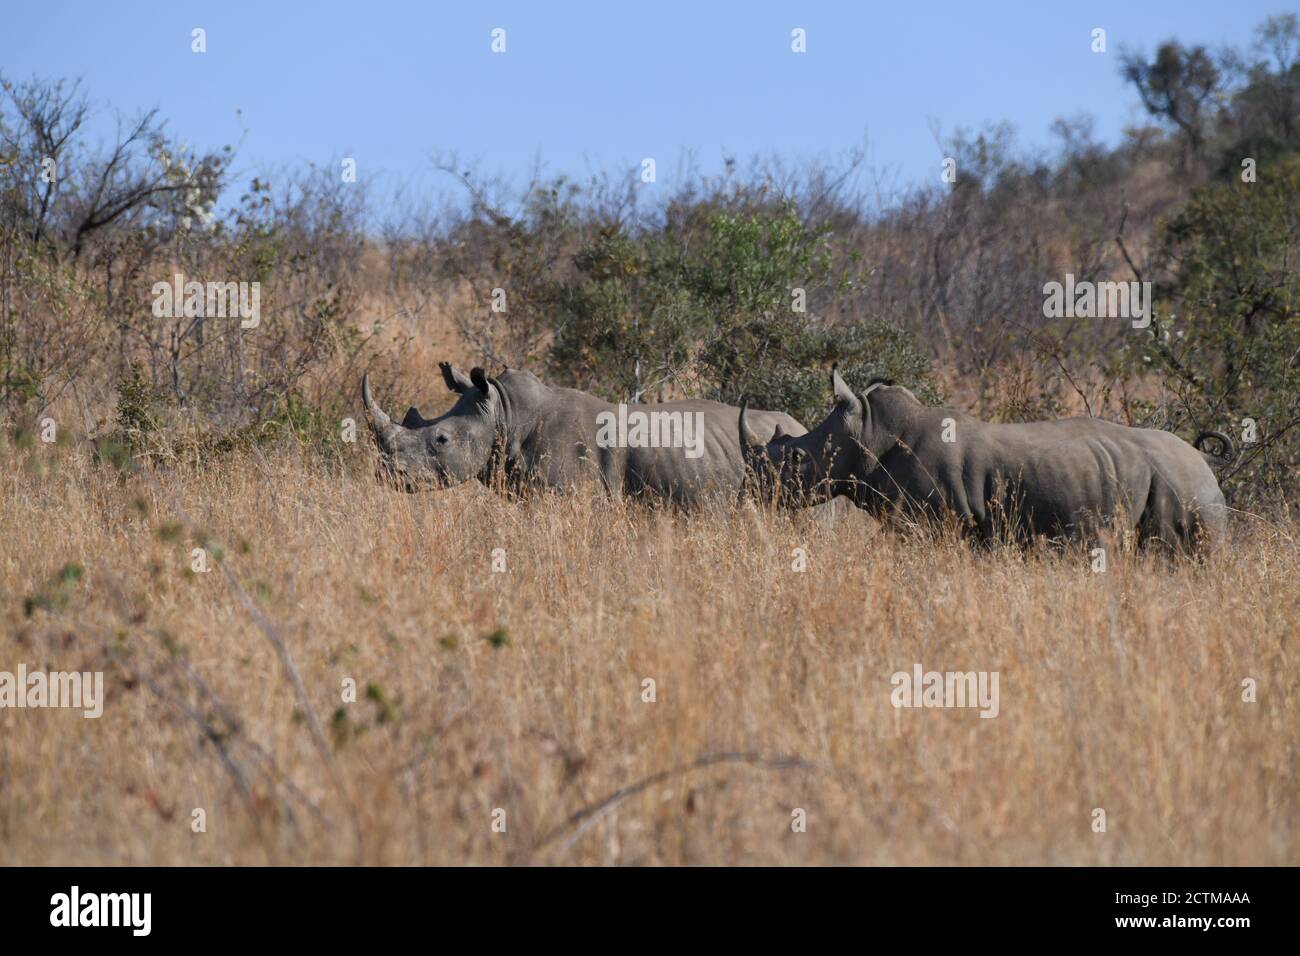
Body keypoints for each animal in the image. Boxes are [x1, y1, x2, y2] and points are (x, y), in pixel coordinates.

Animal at [739, 368, 1232, 553]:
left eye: (797, 458)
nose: (751, 494)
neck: (870, 433)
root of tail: (1205, 463)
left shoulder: (934, 523)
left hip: (1185, 488)